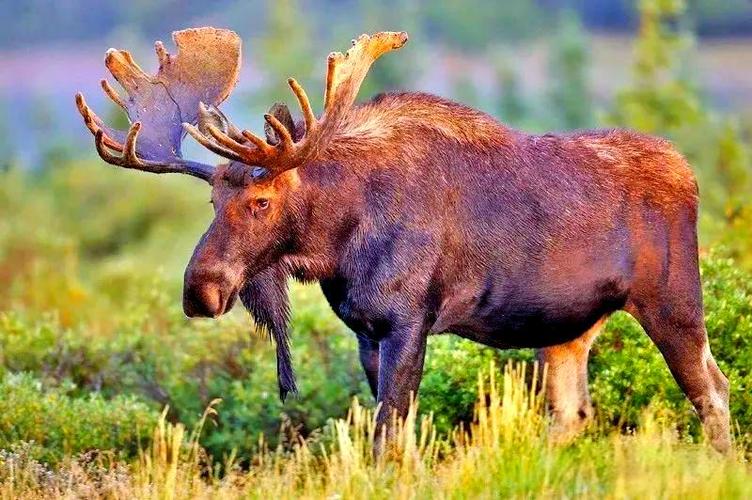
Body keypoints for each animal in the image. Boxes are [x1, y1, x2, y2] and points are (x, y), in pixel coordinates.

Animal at [75, 27, 731, 454]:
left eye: (261, 201)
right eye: (212, 202)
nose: (200, 290)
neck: (337, 244)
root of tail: (689, 171)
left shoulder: (409, 321)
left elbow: (388, 436)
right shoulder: (367, 331)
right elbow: (398, 433)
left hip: (674, 302)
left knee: (712, 390)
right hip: (569, 330)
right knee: (572, 413)